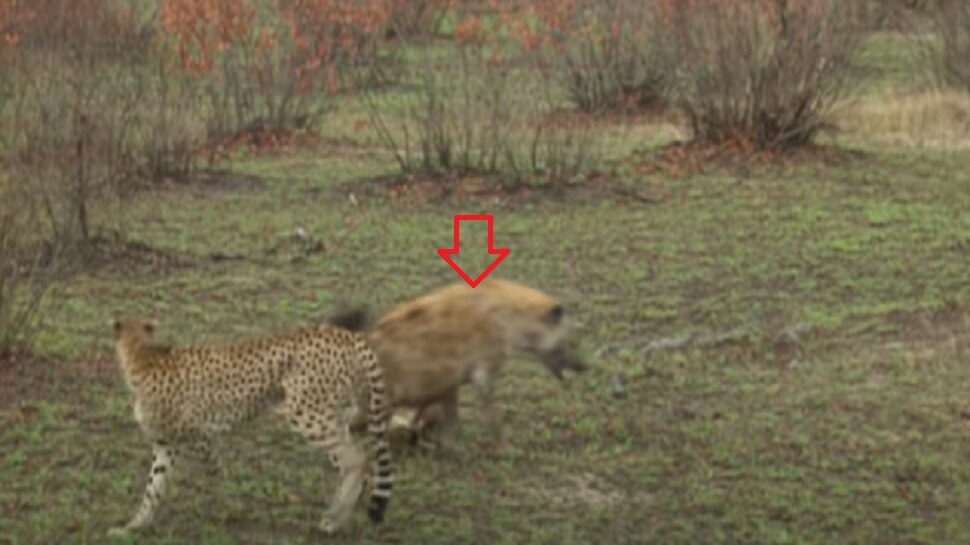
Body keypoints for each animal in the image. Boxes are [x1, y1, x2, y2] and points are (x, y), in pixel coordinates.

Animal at [107, 318, 393, 537]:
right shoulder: (165, 445)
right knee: (361, 461)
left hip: (309, 415)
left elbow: (215, 474)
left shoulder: (198, 436)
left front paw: (227, 509)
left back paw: (334, 520)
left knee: (358, 459)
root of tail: (346, 334)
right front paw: (134, 526)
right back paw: (345, 515)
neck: (143, 356)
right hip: (336, 416)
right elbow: (152, 489)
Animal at [328, 278, 587, 450]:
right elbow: (490, 411)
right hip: (382, 396)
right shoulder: (484, 365)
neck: (509, 320)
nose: (582, 366)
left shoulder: (449, 378)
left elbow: (450, 413)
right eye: (568, 341)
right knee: (358, 424)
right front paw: (505, 446)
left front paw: (449, 445)